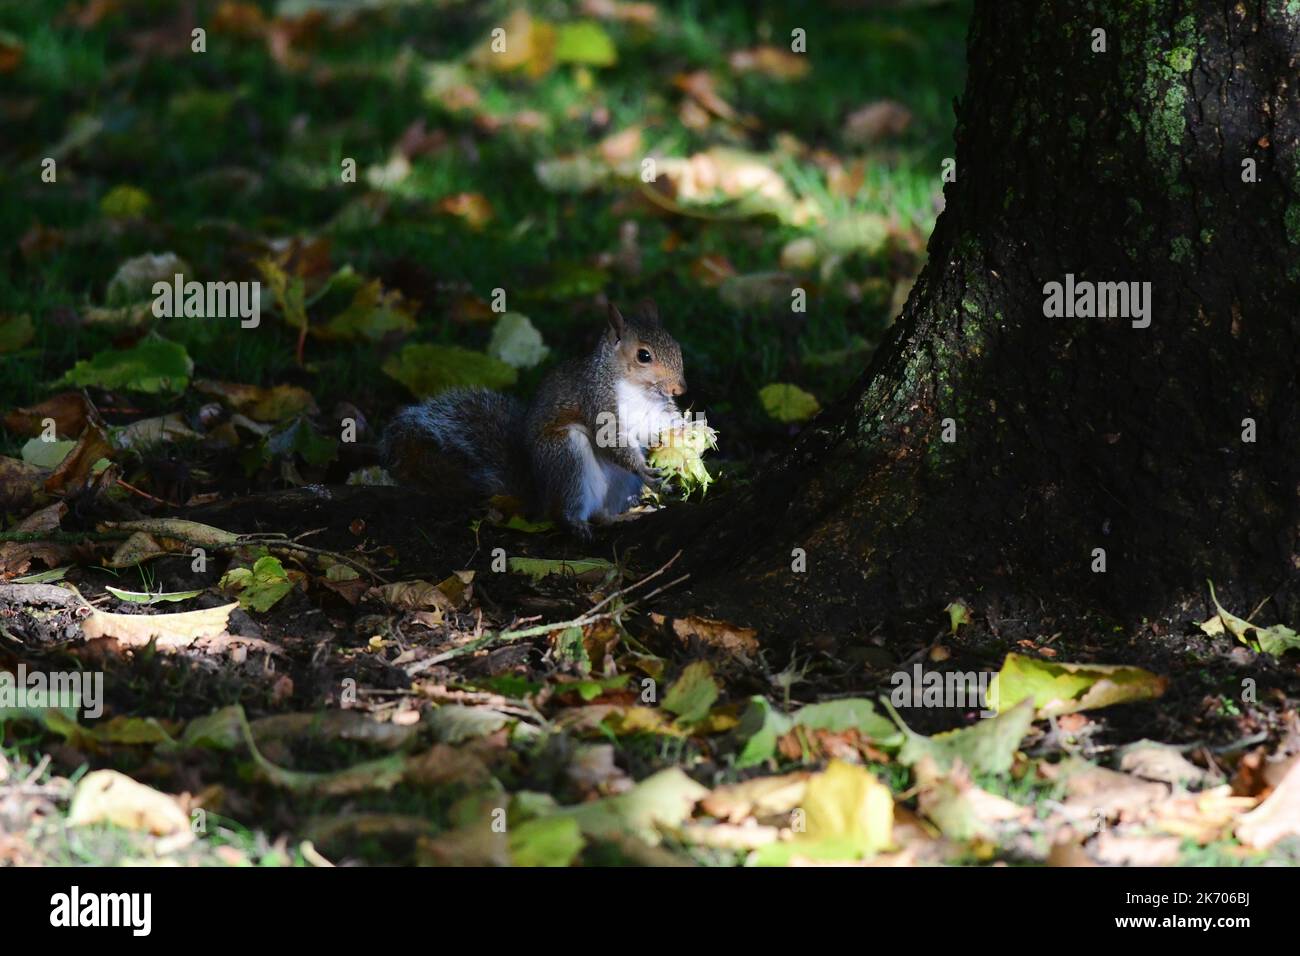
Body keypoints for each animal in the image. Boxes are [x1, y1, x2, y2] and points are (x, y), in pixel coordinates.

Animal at [382, 301, 688, 540]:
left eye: (677, 347)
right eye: (643, 356)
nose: (680, 389)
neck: (639, 390)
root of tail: (540, 495)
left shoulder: (653, 412)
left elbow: (658, 426)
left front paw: (687, 432)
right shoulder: (598, 401)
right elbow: (611, 440)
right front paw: (645, 470)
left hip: (618, 485)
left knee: (601, 514)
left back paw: (623, 516)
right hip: (565, 456)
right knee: (565, 512)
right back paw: (577, 524)